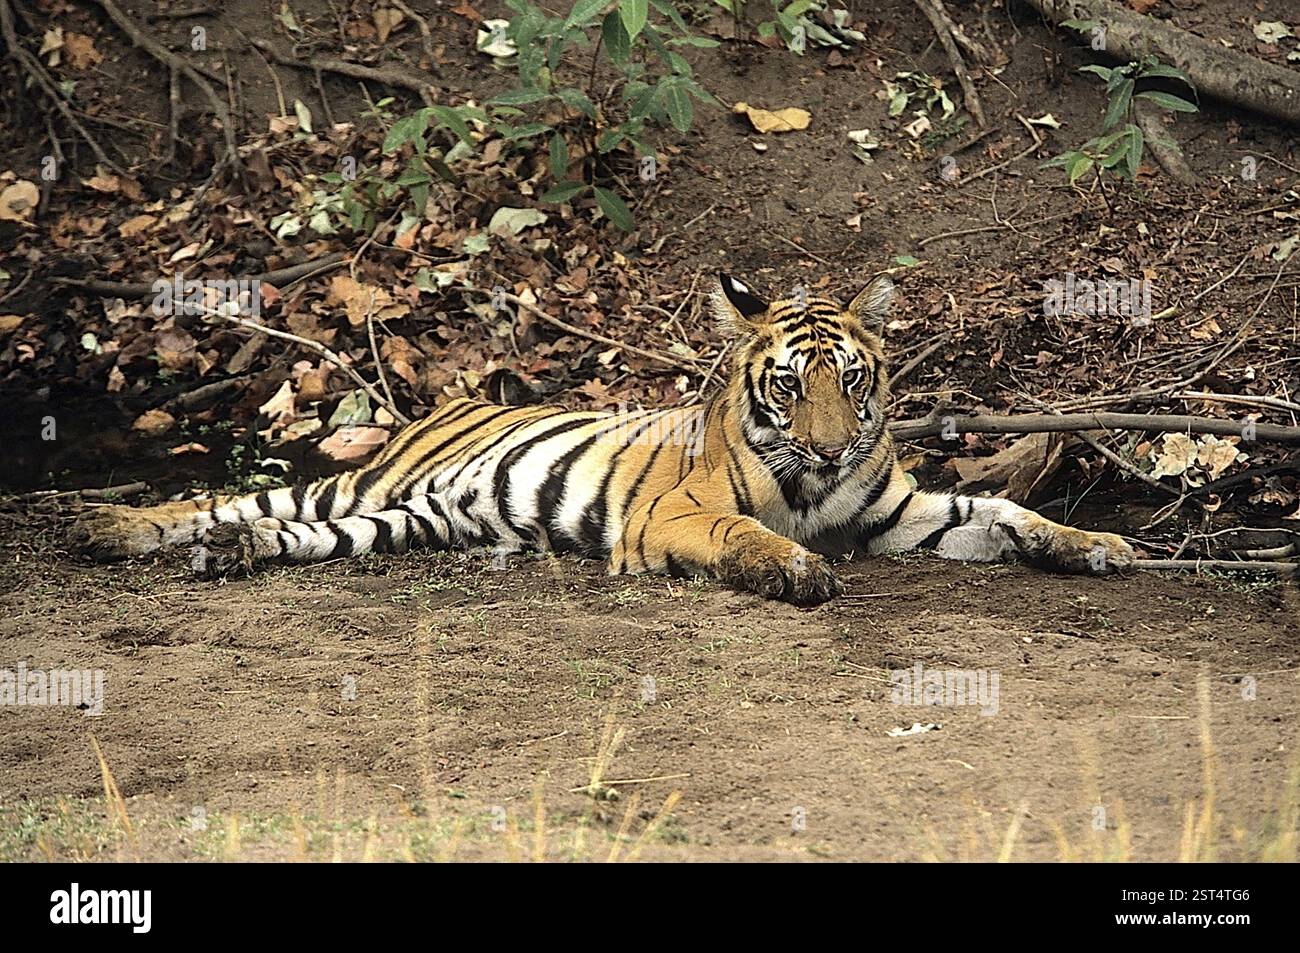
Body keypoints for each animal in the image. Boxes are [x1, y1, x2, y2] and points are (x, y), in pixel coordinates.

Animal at [67, 272, 1134, 604]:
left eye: (854, 380)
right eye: (790, 385)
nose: (832, 449)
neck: (818, 488)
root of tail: (449, 399)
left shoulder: (898, 515)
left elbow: (1002, 507)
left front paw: (1099, 546)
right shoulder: (676, 511)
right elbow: (746, 533)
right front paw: (798, 569)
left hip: (401, 521)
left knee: (284, 531)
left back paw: (229, 553)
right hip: (357, 487)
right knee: (223, 496)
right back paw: (110, 530)